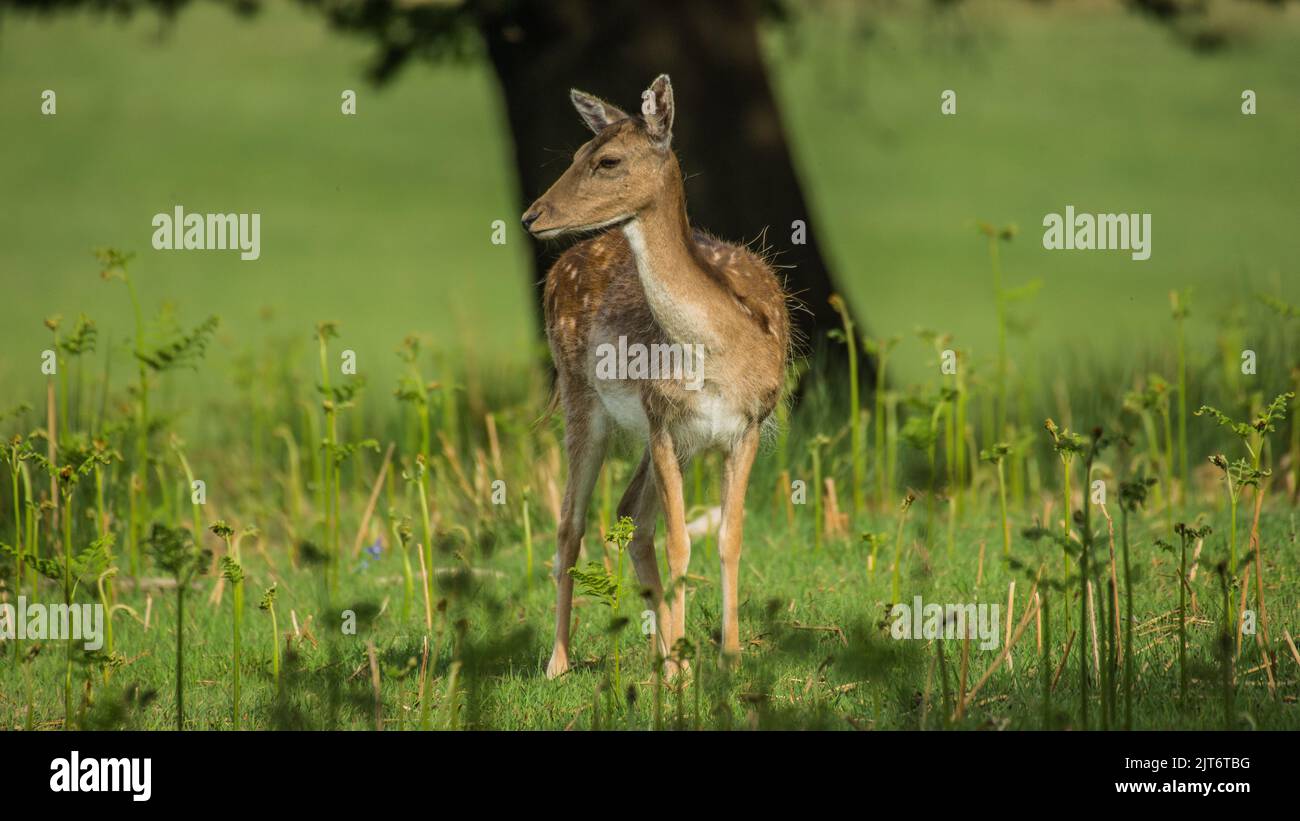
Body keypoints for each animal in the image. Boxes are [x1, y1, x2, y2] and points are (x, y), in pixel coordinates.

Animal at [522, 74, 792, 679]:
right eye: (576, 153)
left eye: (607, 160)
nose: (531, 216)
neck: (717, 355)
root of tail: (559, 267)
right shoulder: (664, 419)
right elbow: (679, 544)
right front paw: (684, 665)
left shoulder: (746, 425)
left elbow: (728, 537)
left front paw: (728, 657)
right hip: (581, 396)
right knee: (571, 523)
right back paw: (561, 661)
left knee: (630, 516)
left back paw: (663, 654)